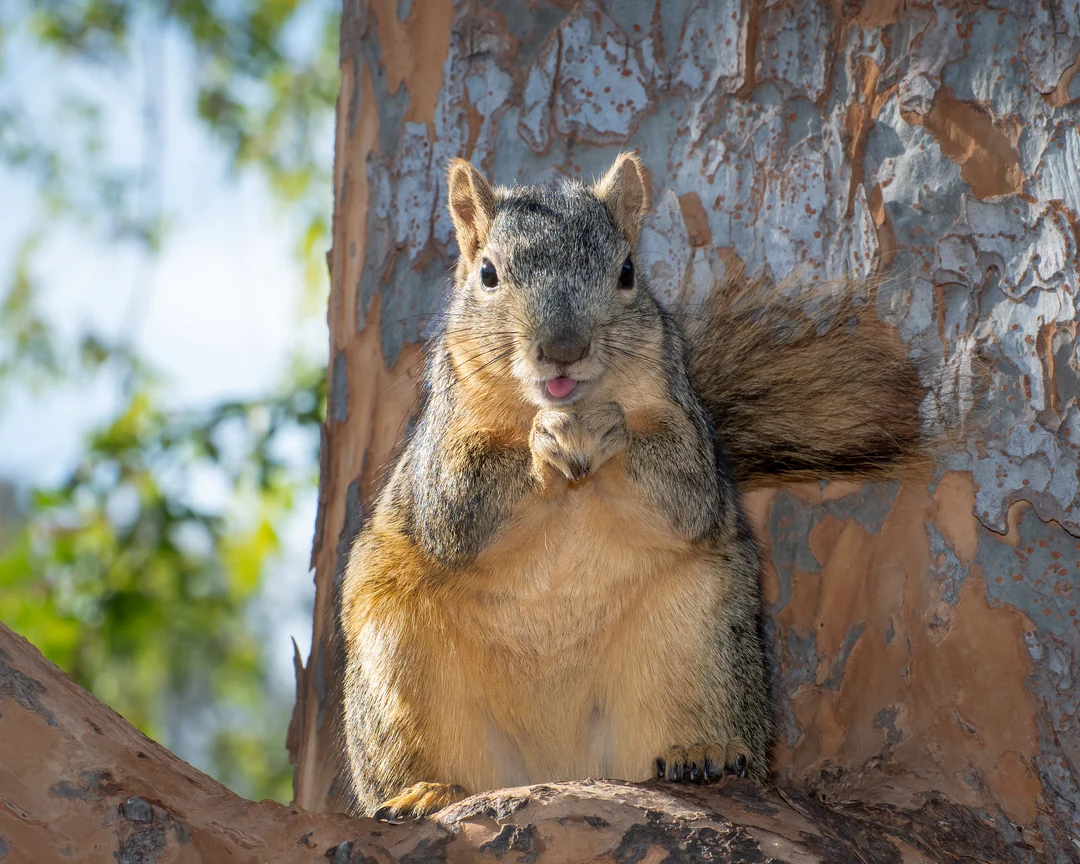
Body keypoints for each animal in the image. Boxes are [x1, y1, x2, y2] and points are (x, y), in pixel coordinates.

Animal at [340, 153, 925, 819]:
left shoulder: (687, 436)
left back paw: (703, 752)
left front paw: (605, 425)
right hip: (399, 657)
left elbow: (684, 486)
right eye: (487, 273)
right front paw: (544, 437)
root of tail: (560, 765)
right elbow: (456, 502)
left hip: (698, 638)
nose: (563, 349)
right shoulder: (440, 454)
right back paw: (423, 791)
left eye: (628, 272)